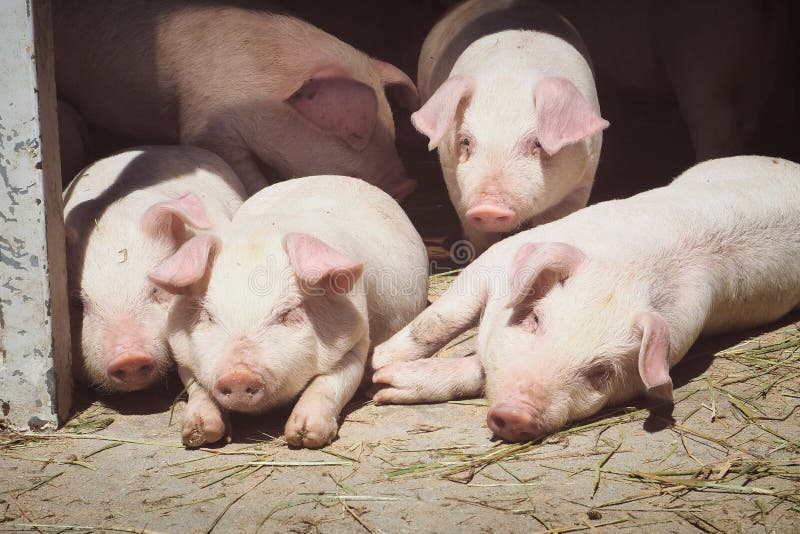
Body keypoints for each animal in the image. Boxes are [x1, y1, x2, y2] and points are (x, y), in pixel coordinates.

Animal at [53, 0, 419, 200]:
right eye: (354, 135)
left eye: (393, 129)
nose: (408, 184)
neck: (262, 96)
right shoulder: (206, 124)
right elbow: (244, 172)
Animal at [149, 175, 429, 448]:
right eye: (207, 315)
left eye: (289, 312)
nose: (239, 376)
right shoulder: (183, 355)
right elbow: (196, 387)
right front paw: (198, 433)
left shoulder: (357, 340)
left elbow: (331, 382)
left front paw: (304, 435)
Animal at [370, 156, 800, 442]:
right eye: (535, 321)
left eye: (601, 372)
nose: (517, 414)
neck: (630, 268)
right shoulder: (496, 260)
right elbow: (440, 319)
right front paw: (378, 366)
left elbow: (479, 366)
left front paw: (385, 385)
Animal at [413, 0, 609, 252]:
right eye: (465, 141)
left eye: (537, 143)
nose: (488, 207)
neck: (515, 69)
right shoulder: (452, 178)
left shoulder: (583, 180)